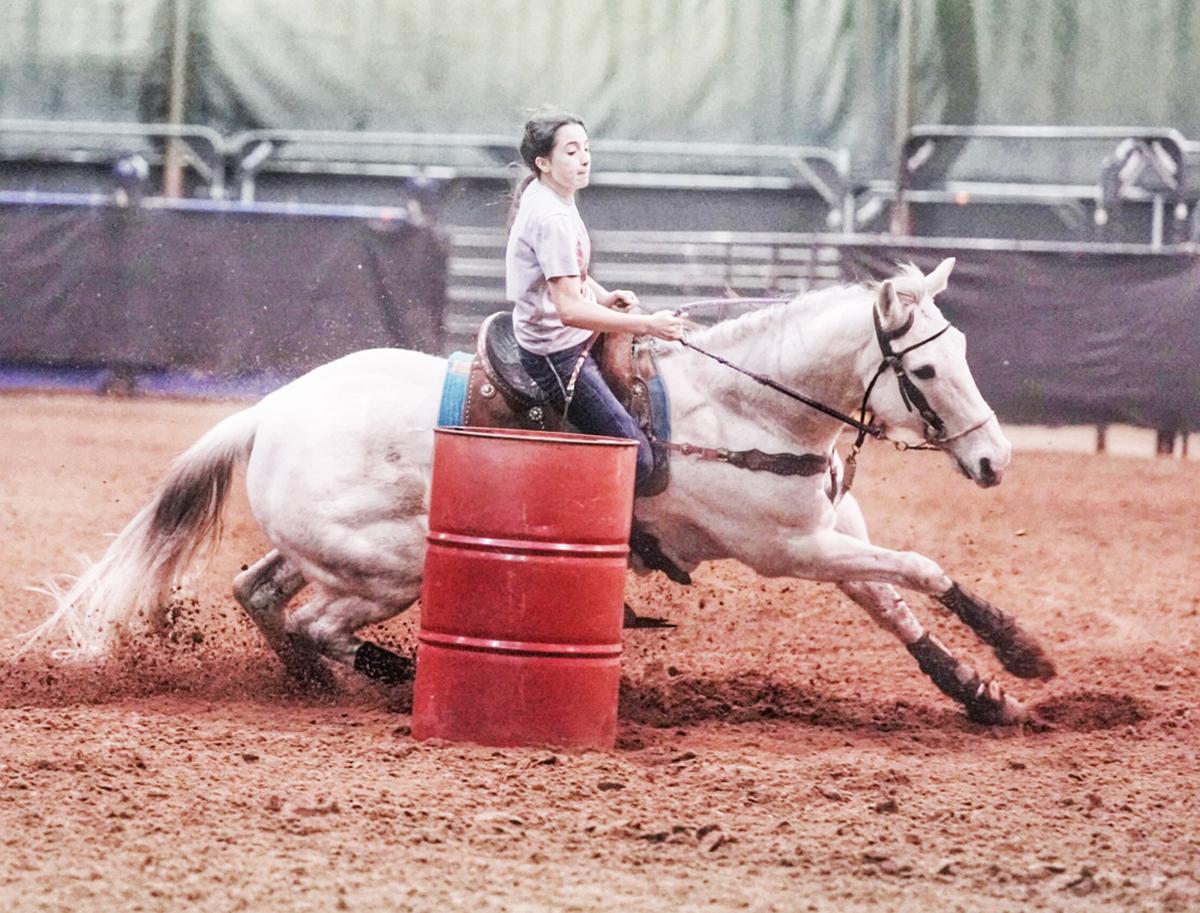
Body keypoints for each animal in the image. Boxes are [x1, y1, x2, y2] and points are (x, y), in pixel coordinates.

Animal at [24, 257, 1055, 724]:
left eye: (963, 349)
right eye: (927, 370)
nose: (996, 461)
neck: (748, 406)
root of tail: (272, 409)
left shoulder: (830, 542)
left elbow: (900, 603)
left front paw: (986, 688)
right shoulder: (790, 552)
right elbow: (921, 569)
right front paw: (1026, 652)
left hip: (323, 548)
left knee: (261, 594)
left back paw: (320, 681)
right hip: (388, 567)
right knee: (316, 620)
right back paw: (386, 679)